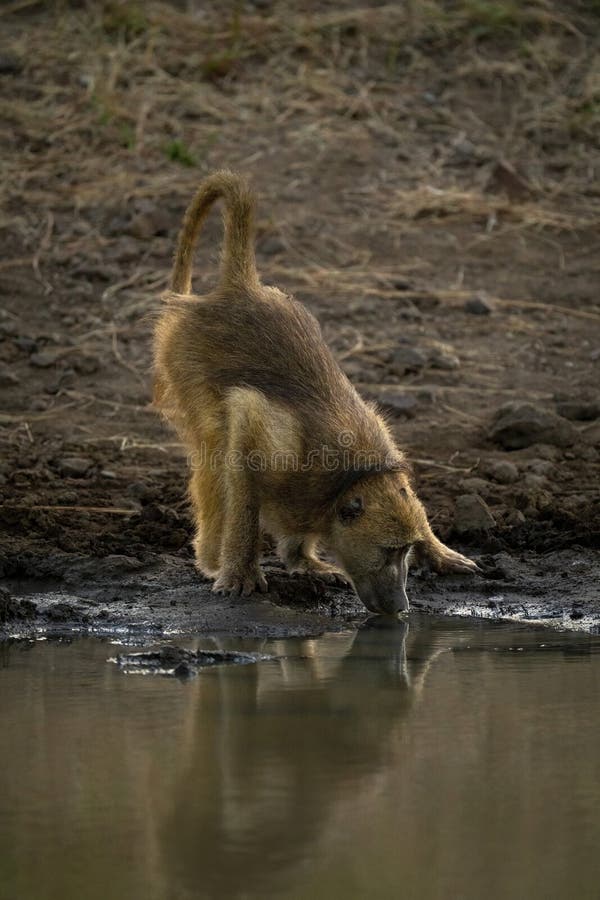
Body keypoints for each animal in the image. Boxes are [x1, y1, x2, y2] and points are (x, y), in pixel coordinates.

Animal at [153, 171, 478, 614]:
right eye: (388, 551)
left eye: (405, 550)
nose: (401, 605)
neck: (346, 481)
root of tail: (240, 290)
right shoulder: (272, 436)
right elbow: (239, 468)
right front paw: (239, 572)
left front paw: (439, 553)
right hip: (182, 363)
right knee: (212, 453)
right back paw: (212, 560)